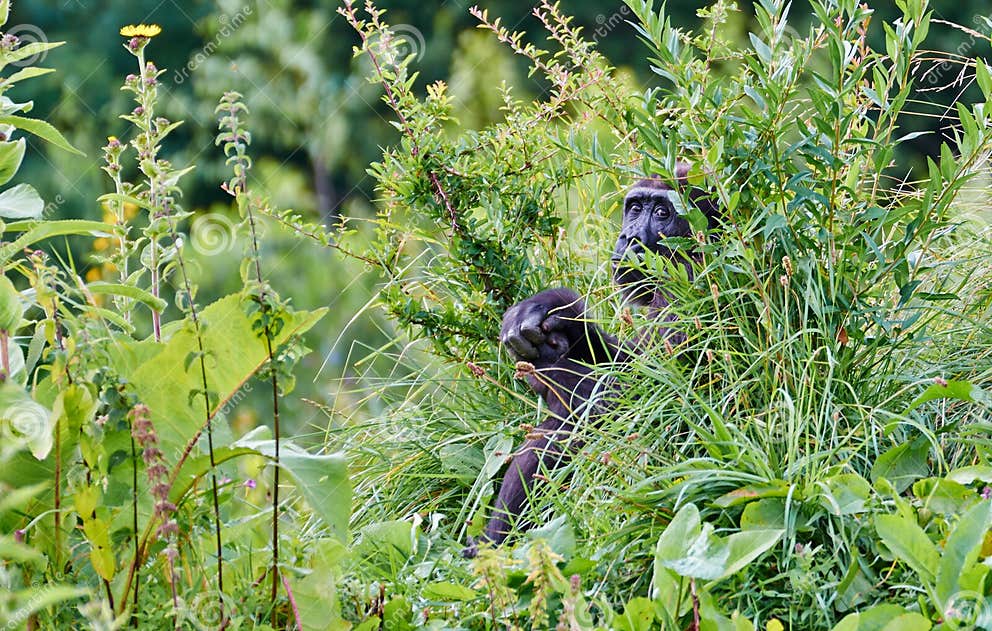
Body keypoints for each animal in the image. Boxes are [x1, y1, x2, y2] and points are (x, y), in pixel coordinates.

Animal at [463, 166, 718, 557]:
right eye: (635, 208)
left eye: (662, 213)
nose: (629, 237)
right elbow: (625, 363)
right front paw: (555, 312)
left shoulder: (688, 284)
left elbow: (639, 392)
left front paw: (547, 371)